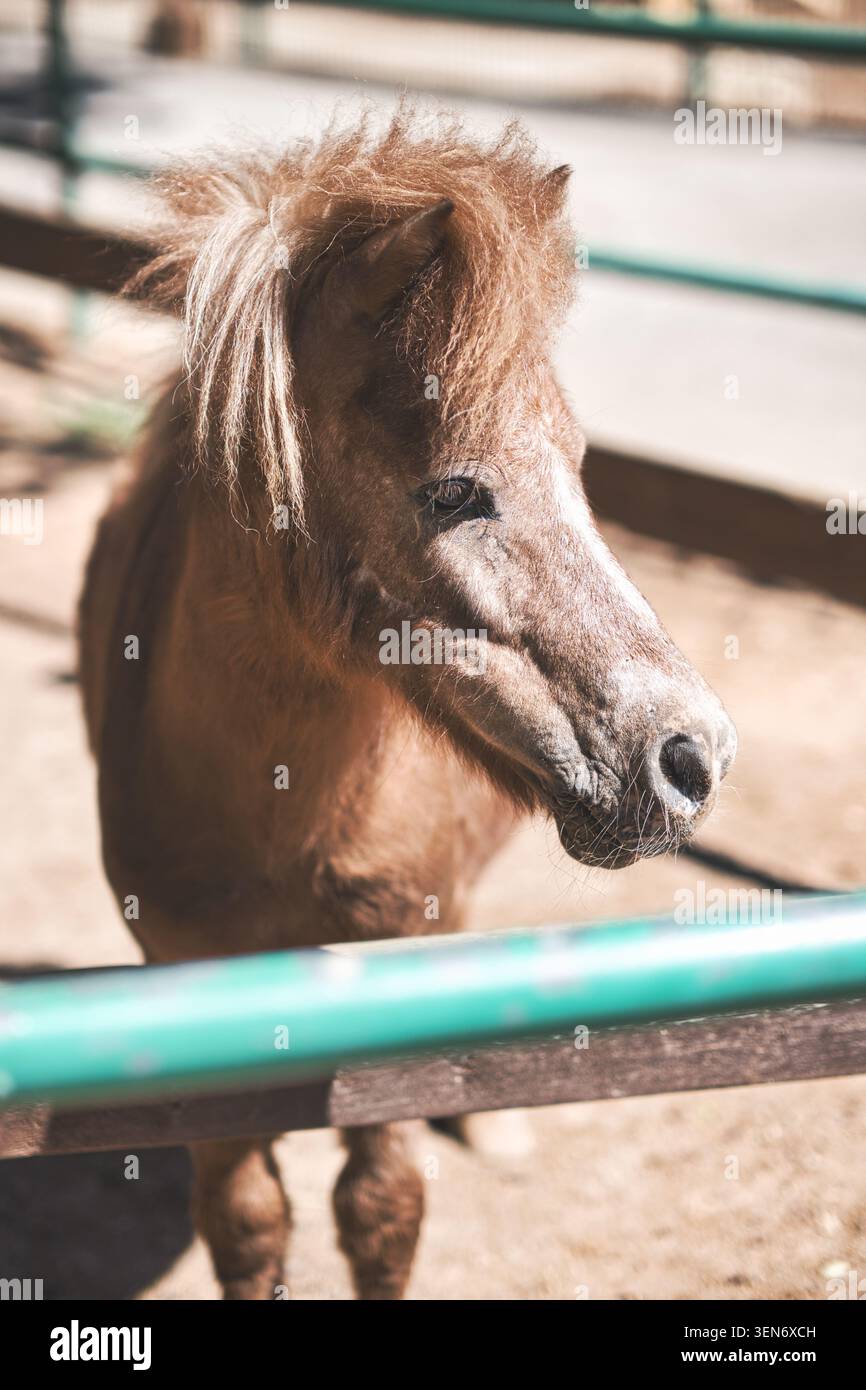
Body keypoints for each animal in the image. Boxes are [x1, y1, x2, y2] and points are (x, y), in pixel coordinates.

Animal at [79, 106, 736, 1300]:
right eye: (454, 491)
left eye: (579, 465)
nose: (692, 755)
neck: (284, 817)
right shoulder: (185, 976)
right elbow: (244, 1215)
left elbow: (380, 1206)